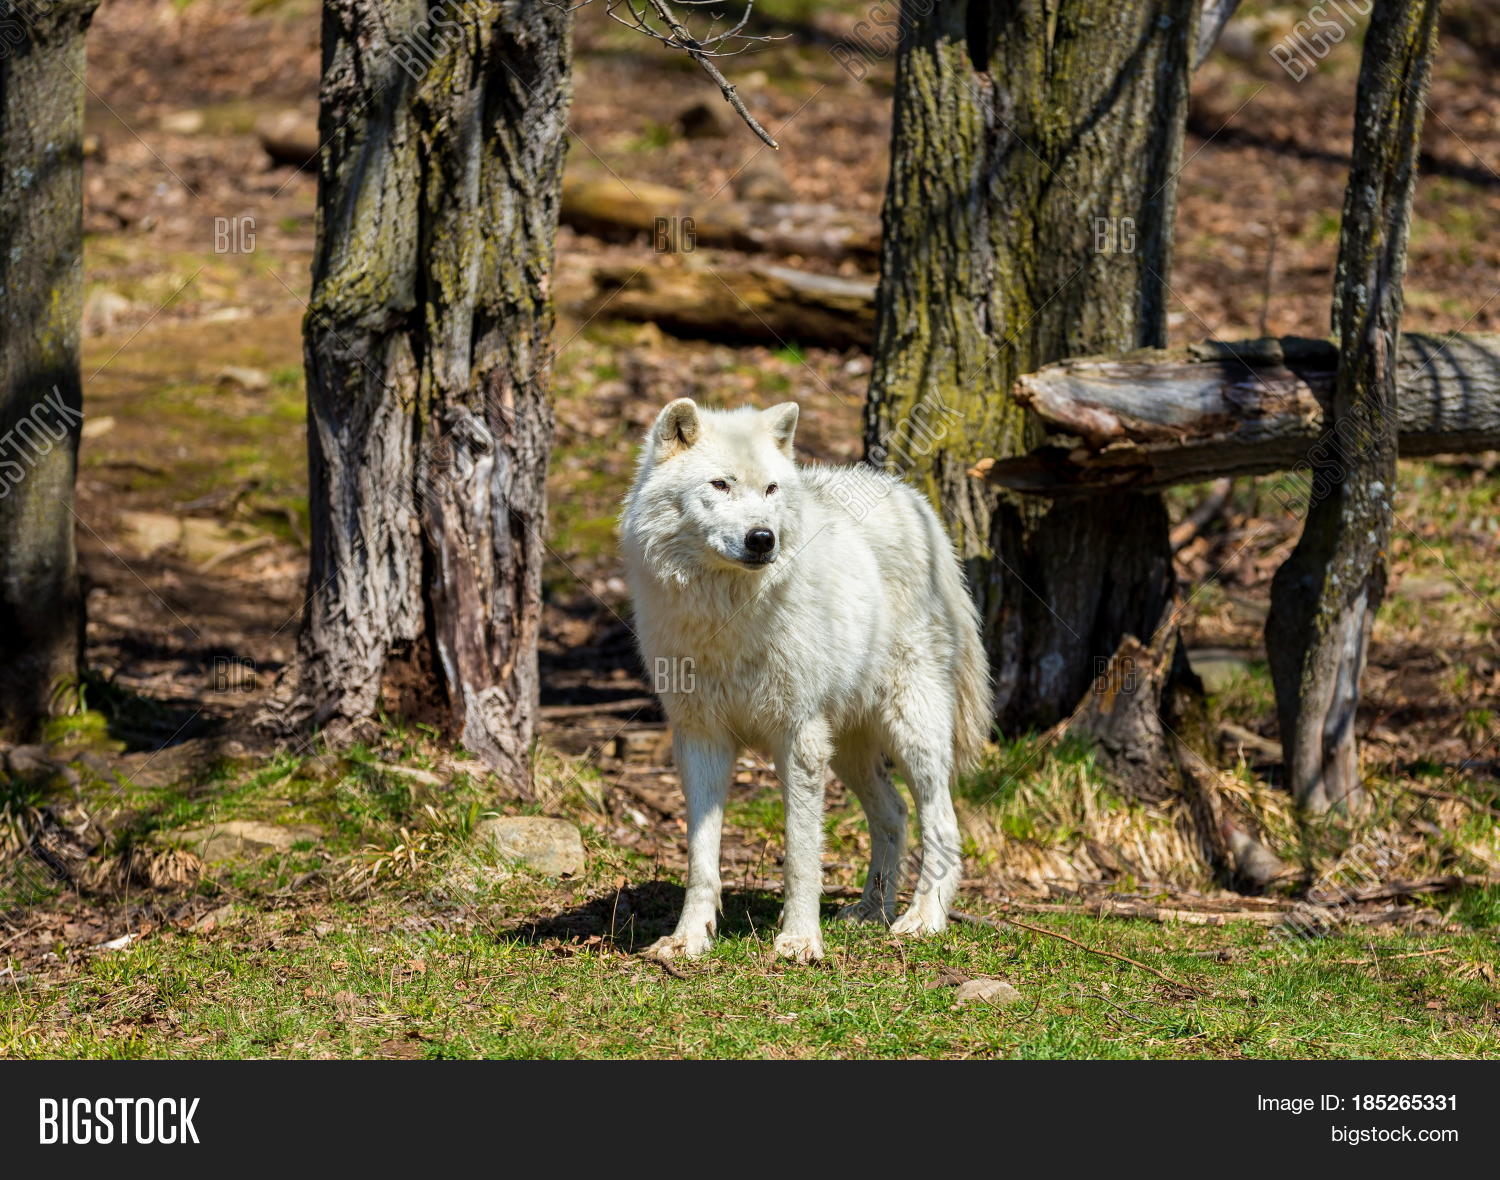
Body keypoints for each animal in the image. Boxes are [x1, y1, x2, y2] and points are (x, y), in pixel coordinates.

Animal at [620, 399, 992, 962]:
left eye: (771, 489)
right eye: (720, 484)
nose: (762, 539)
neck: (730, 615)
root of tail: (913, 500)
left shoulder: (799, 737)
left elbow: (800, 854)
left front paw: (798, 941)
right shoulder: (700, 738)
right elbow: (701, 859)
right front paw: (688, 939)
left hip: (910, 729)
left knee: (942, 821)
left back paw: (923, 919)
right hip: (849, 749)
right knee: (893, 813)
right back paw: (871, 911)